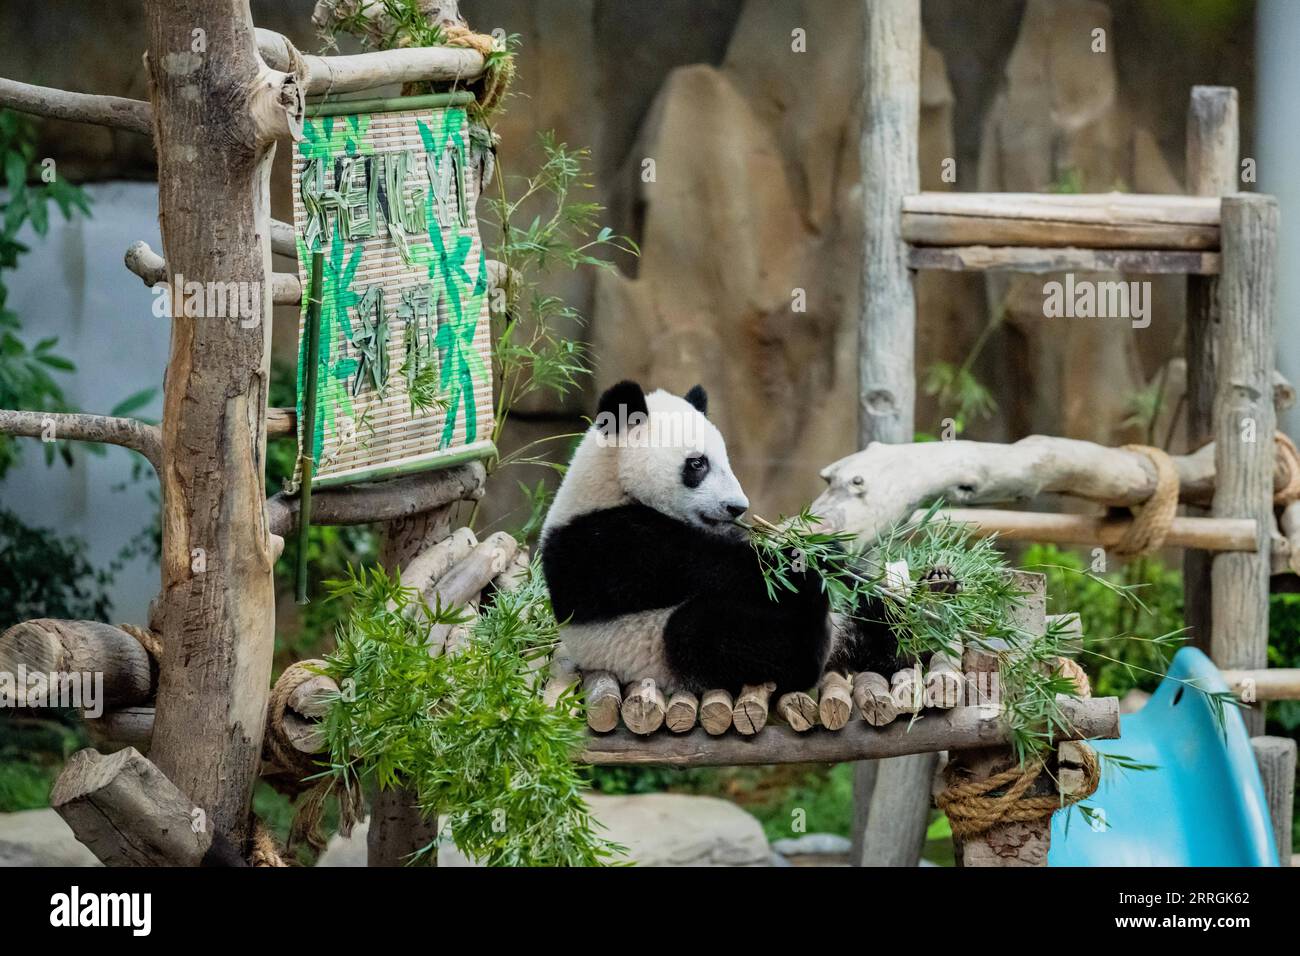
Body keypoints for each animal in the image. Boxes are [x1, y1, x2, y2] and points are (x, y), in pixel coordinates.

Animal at [539, 380, 913, 697]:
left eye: (725, 461)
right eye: (697, 464)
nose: (737, 507)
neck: (611, 483)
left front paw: (821, 551)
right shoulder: (606, 541)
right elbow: (714, 566)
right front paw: (798, 564)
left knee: (875, 608)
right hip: (651, 646)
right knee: (707, 633)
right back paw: (812, 622)